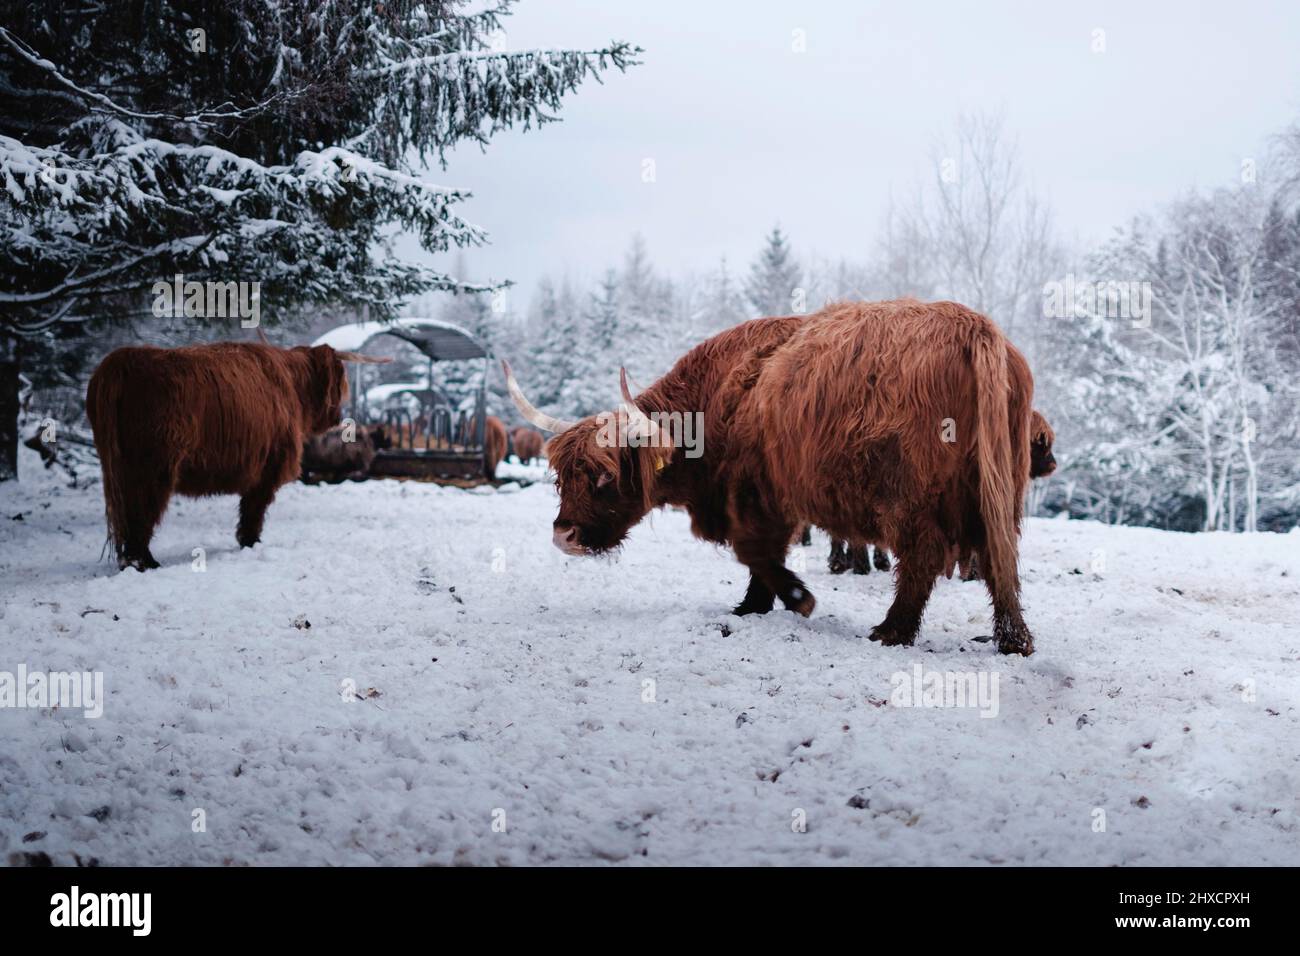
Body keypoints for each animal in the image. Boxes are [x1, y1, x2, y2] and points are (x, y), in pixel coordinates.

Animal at [86, 342, 387, 571]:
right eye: (340, 384)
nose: (338, 417)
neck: (292, 385)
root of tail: (122, 361)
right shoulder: (268, 467)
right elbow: (254, 509)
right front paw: (251, 542)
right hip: (150, 468)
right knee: (141, 513)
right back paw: (145, 562)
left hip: (117, 467)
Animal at [505, 299, 1040, 655]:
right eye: (561, 477)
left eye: (603, 476)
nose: (564, 535)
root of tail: (972, 325)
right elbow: (758, 558)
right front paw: (753, 606)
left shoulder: (756, 495)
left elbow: (755, 553)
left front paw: (796, 600)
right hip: (997, 491)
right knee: (1000, 560)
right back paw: (1012, 640)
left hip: (909, 499)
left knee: (923, 559)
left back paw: (892, 631)